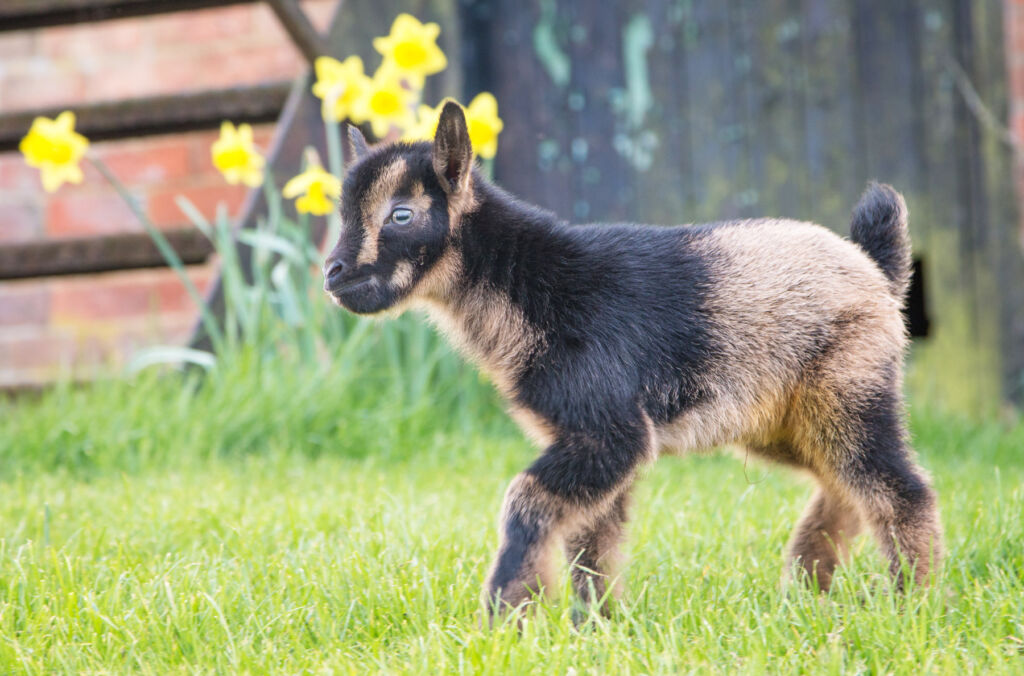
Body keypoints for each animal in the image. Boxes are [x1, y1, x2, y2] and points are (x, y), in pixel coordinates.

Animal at [323, 102, 942, 616]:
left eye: (401, 215)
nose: (333, 275)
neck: (528, 283)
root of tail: (875, 269)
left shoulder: (609, 431)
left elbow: (527, 501)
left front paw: (508, 615)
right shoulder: (587, 438)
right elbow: (592, 539)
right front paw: (596, 624)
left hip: (849, 390)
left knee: (898, 488)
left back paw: (912, 604)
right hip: (783, 422)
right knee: (844, 491)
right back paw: (806, 591)